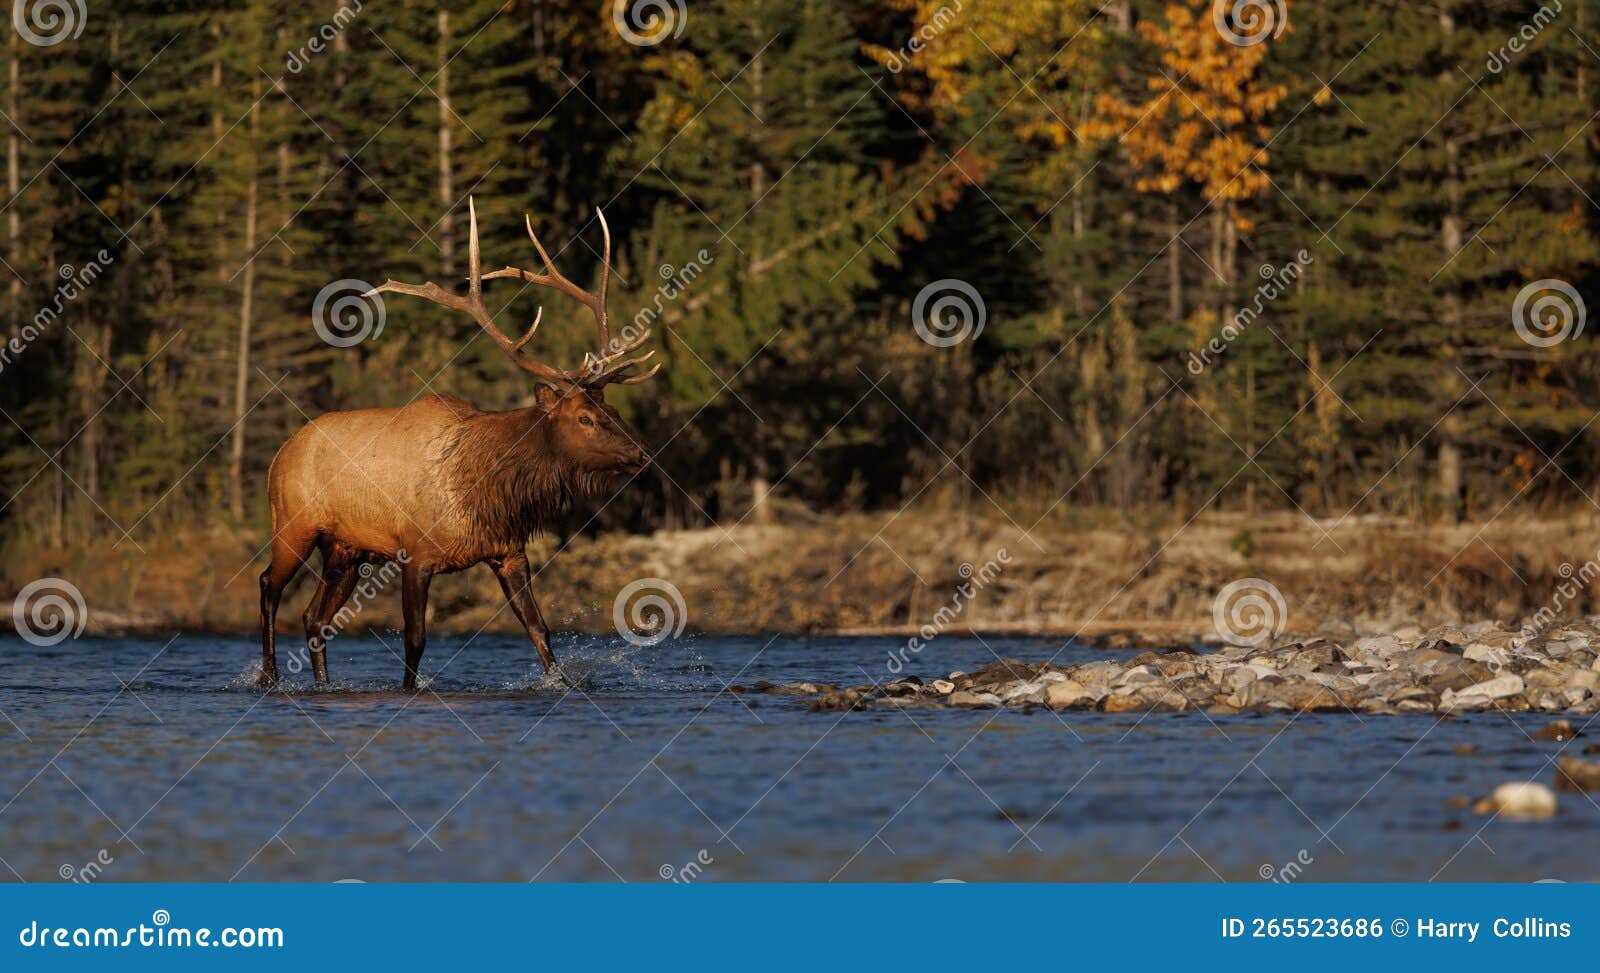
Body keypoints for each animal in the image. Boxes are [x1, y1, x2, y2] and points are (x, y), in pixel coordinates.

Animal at [259, 198, 658, 691]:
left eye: (614, 412)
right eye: (584, 417)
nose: (641, 455)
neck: (486, 487)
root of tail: (279, 454)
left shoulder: (508, 552)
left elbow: (540, 630)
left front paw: (561, 684)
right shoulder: (415, 553)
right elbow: (415, 639)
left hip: (345, 551)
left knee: (314, 618)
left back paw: (323, 685)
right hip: (293, 524)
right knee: (268, 587)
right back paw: (269, 677)